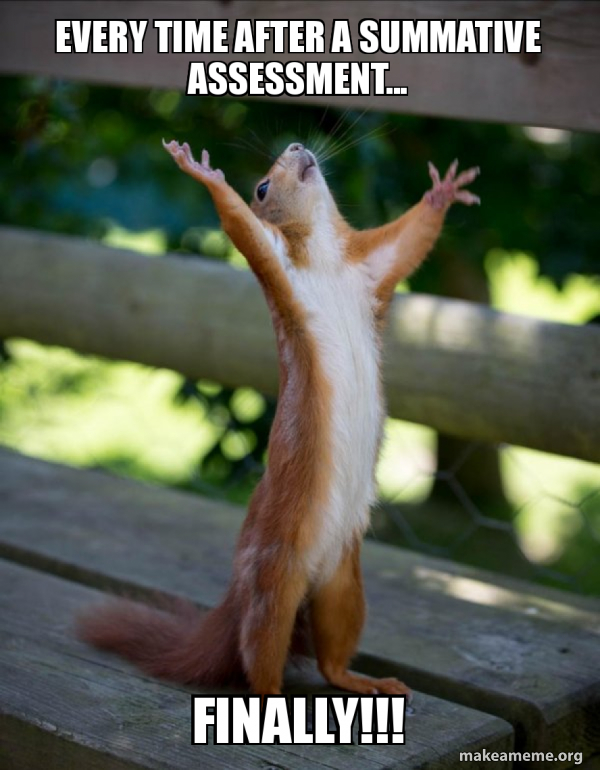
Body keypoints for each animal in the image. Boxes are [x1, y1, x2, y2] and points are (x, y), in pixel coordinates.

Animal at [77, 139, 479, 697]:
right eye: (263, 187)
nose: (296, 146)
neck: (327, 258)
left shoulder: (372, 267)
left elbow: (410, 239)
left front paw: (442, 193)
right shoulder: (277, 264)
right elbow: (240, 226)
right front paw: (203, 173)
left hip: (344, 586)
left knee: (331, 656)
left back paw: (365, 681)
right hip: (273, 583)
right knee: (259, 659)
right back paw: (274, 696)